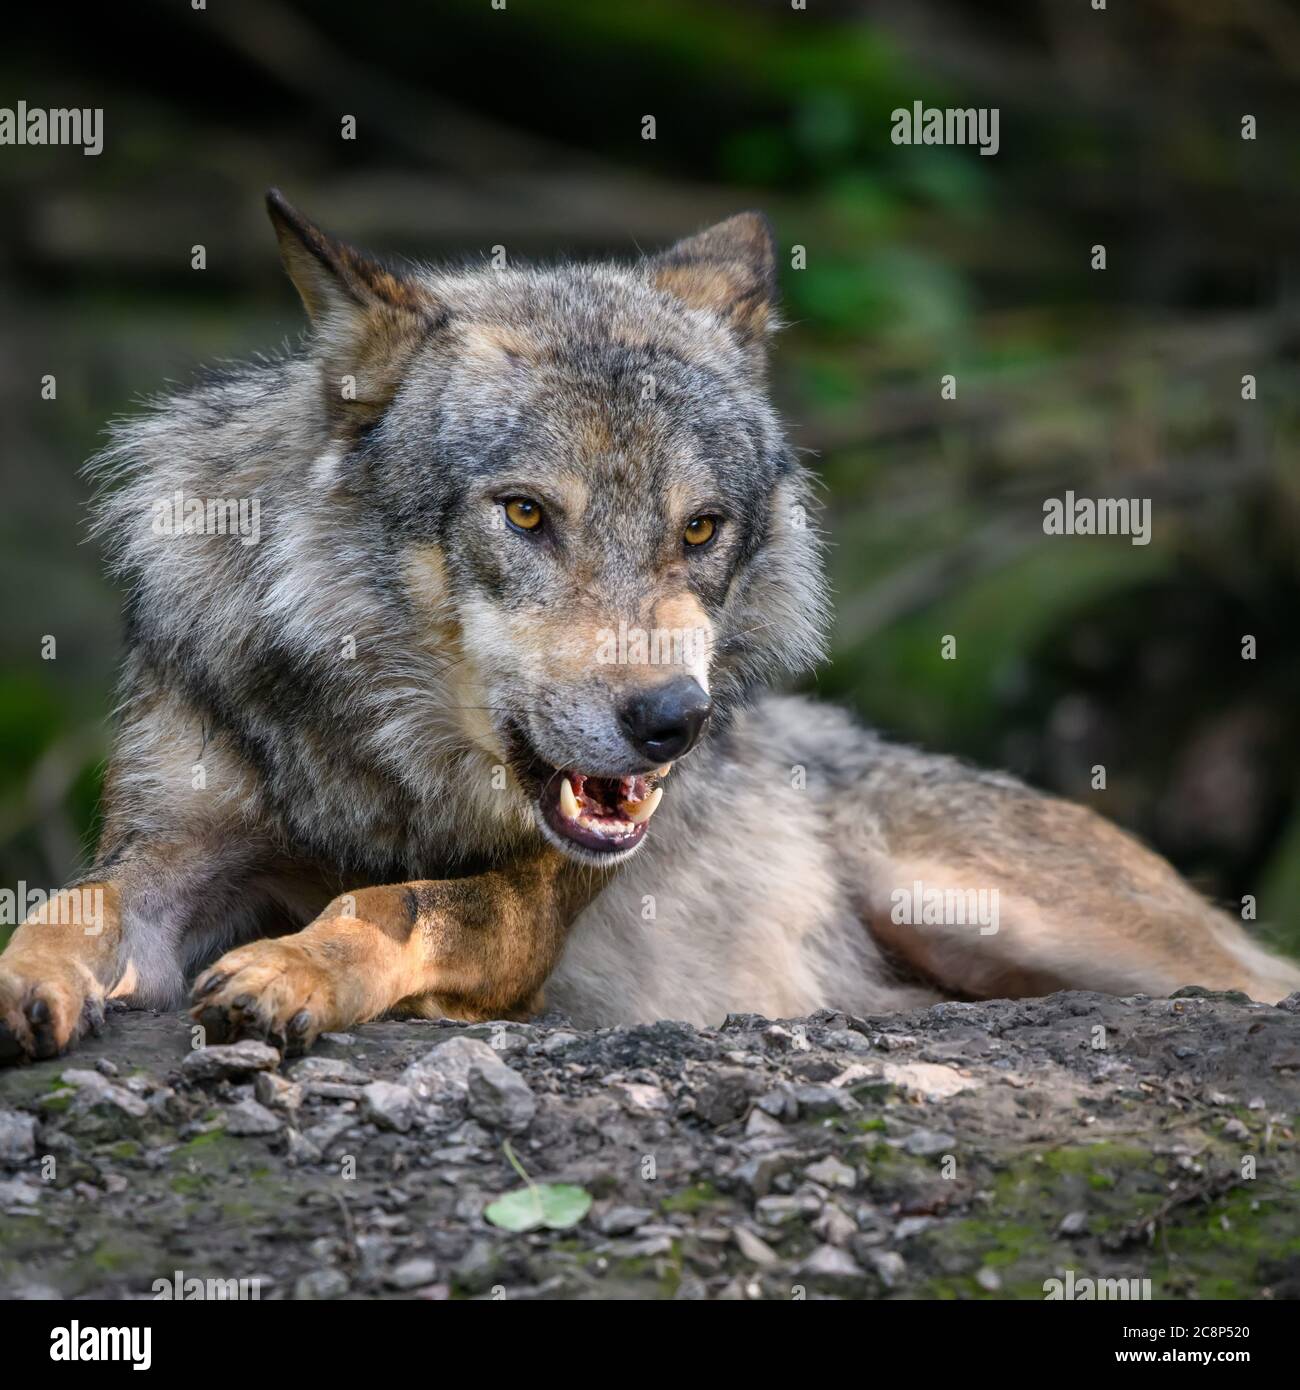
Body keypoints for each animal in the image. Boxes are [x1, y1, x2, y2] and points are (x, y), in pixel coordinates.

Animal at [1, 191, 1296, 1064]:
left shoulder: (529, 905)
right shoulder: (175, 847)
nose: (674, 721)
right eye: (526, 513)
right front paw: (26, 975)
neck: (382, 762)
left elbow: (393, 899)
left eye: (701, 527)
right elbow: (77, 901)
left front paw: (291, 968)